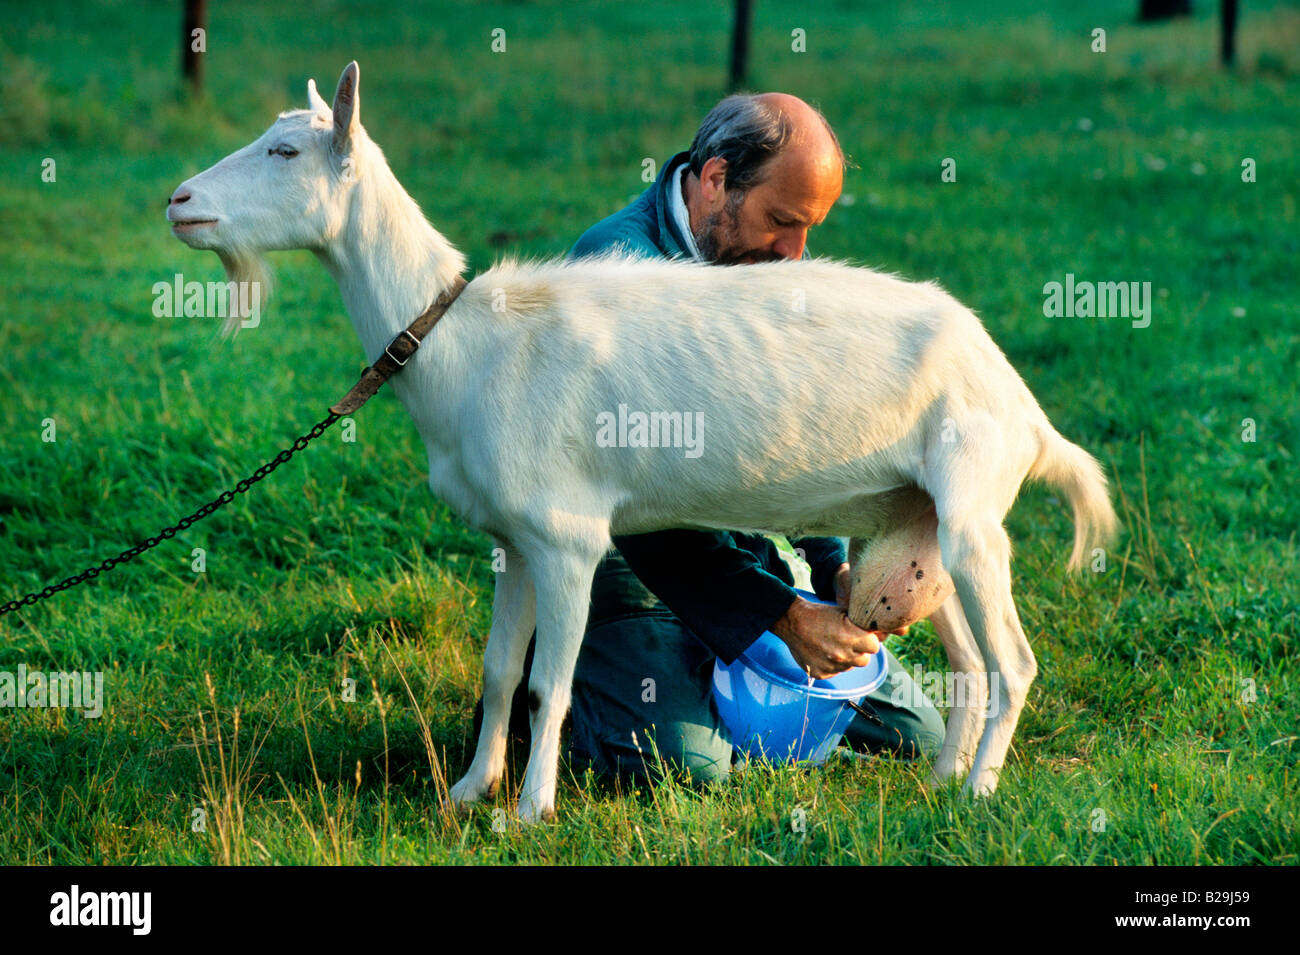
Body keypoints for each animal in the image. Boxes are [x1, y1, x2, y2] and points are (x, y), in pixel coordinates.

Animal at [168, 62, 1117, 822]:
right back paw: (944, 780)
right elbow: (499, 672)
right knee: (966, 661)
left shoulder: (567, 536)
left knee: (1015, 663)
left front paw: (530, 812)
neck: (465, 338)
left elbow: (547, 686)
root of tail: (1027, 410)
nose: (180, 202)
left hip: (973, 504)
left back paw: (982, 791)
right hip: (919, 523)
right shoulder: (513, 540)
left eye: (285, 153)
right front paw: (469, 792)